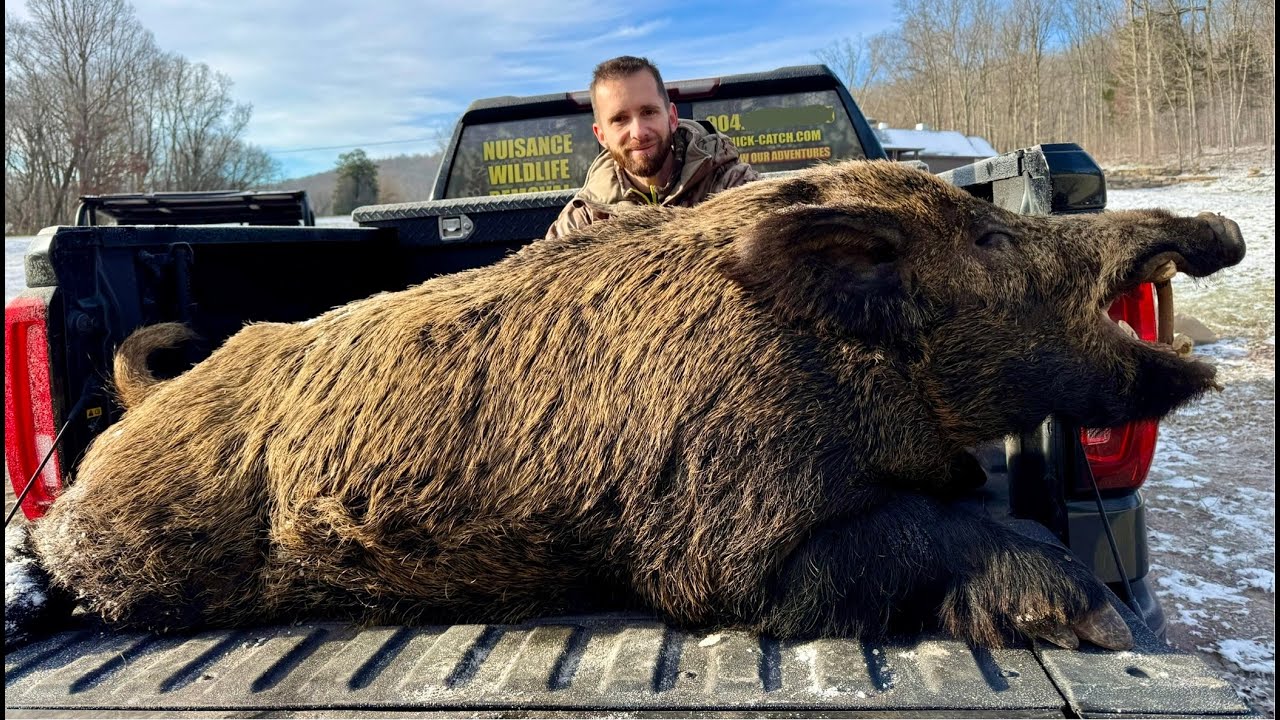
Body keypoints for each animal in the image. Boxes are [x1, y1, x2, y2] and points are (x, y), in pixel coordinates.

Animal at [12, 160, 1245, 651]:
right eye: (988, 237)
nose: (1219, 228)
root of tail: (143, 403)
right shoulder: (722, 543)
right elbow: (924, 537)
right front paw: (1088, 621)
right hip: (120, 533)